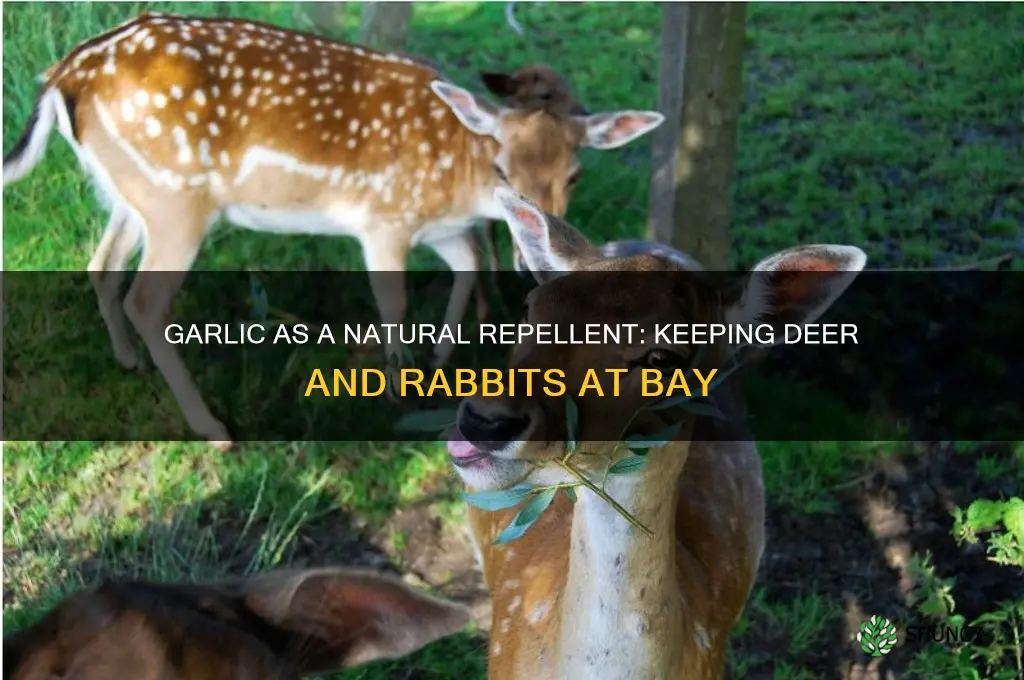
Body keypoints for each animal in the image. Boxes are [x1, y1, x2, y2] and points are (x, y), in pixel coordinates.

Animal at [1, 11, 664, 449]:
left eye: (575, 174)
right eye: (502, 167)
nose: (536, 260)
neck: (458, 178)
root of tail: (62, 75)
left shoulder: (437, 228)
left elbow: (467, 262)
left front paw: (441, 358)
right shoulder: (384, 218)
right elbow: (394, 302)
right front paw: (397, 387)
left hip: (128, 191)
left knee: (101, 263)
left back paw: (128, 361)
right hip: (174, 199)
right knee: (146, 299)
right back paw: (212, 428)